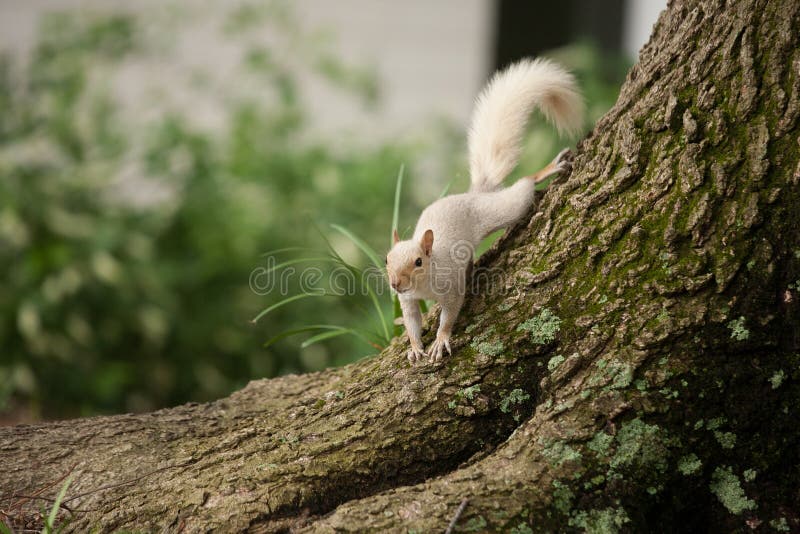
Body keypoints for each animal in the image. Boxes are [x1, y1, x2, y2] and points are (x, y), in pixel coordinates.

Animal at [386, 58, 584, 364]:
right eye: (386, 259)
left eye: (418, 261)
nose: (395, 283)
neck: (424, 283)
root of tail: (474, 194)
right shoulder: (406, 300)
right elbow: (411, 322)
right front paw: (416, 346)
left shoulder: (450, 287)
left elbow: (450, 314)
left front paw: (440, 340)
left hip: (502, 208)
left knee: (524, 186)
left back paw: (549, 169)